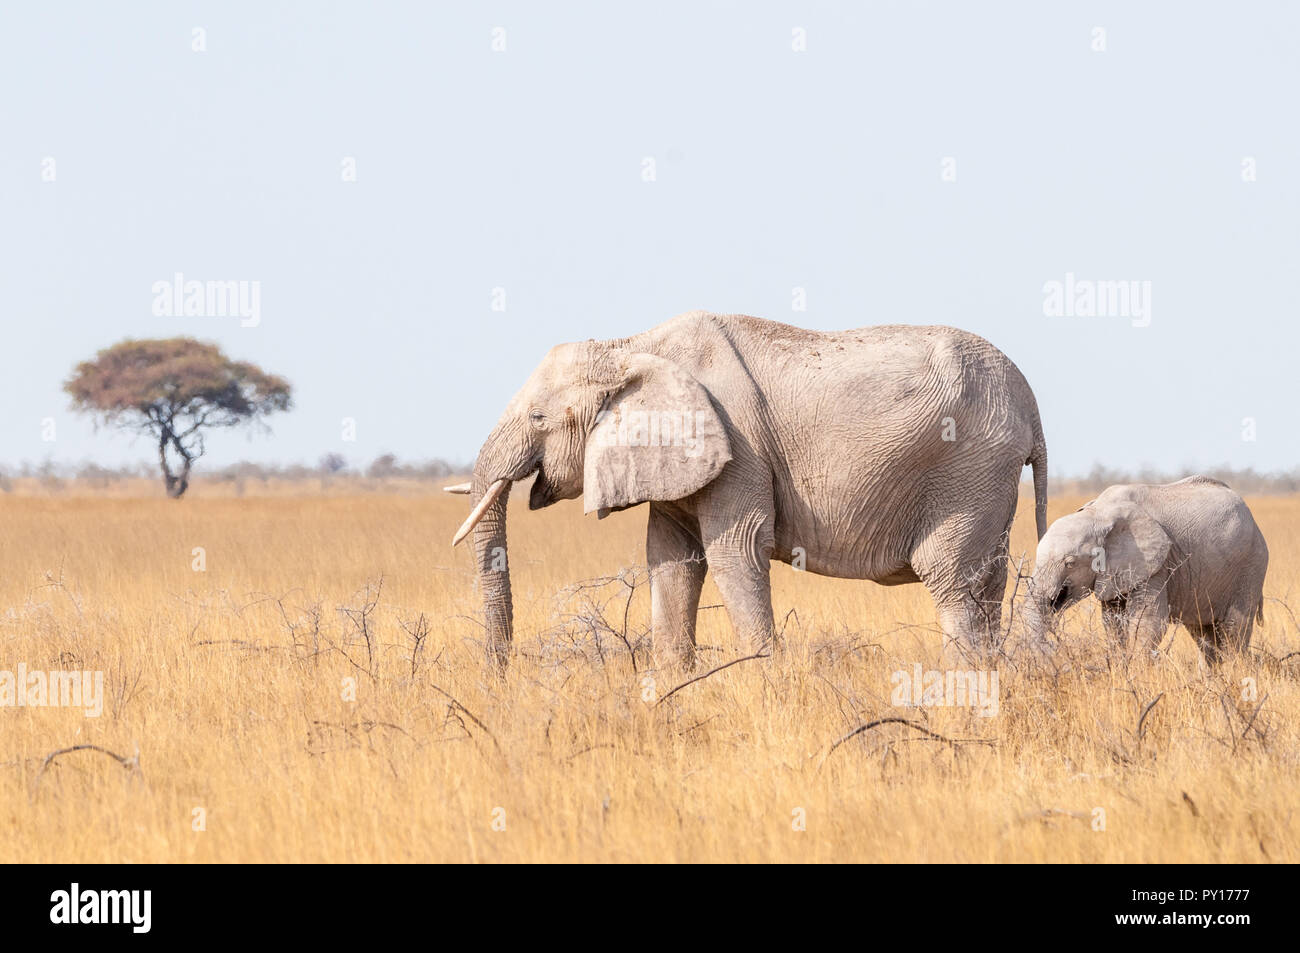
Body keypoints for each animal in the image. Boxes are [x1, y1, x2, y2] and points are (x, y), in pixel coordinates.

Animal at [451, 311, 1048, 669]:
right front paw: (671, 686)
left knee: (950, 580)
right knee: (986, 583)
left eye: (538, 417)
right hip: (988, 479)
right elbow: (671, 559)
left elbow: (733, 552)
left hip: (968, 469)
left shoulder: (739, 448)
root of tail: (1032, 407)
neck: (631, 346)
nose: (500, 677)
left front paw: (764, 680)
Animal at [1025, 476, 1268, 664]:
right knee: (1202, 632)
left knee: (1234, 629)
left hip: (1251, 565)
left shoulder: (1156, 564)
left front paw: (1137, 672)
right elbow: (1112, 622)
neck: (1099, 513)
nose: (1051, 649)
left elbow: (1148, 621)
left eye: (1070, 563)